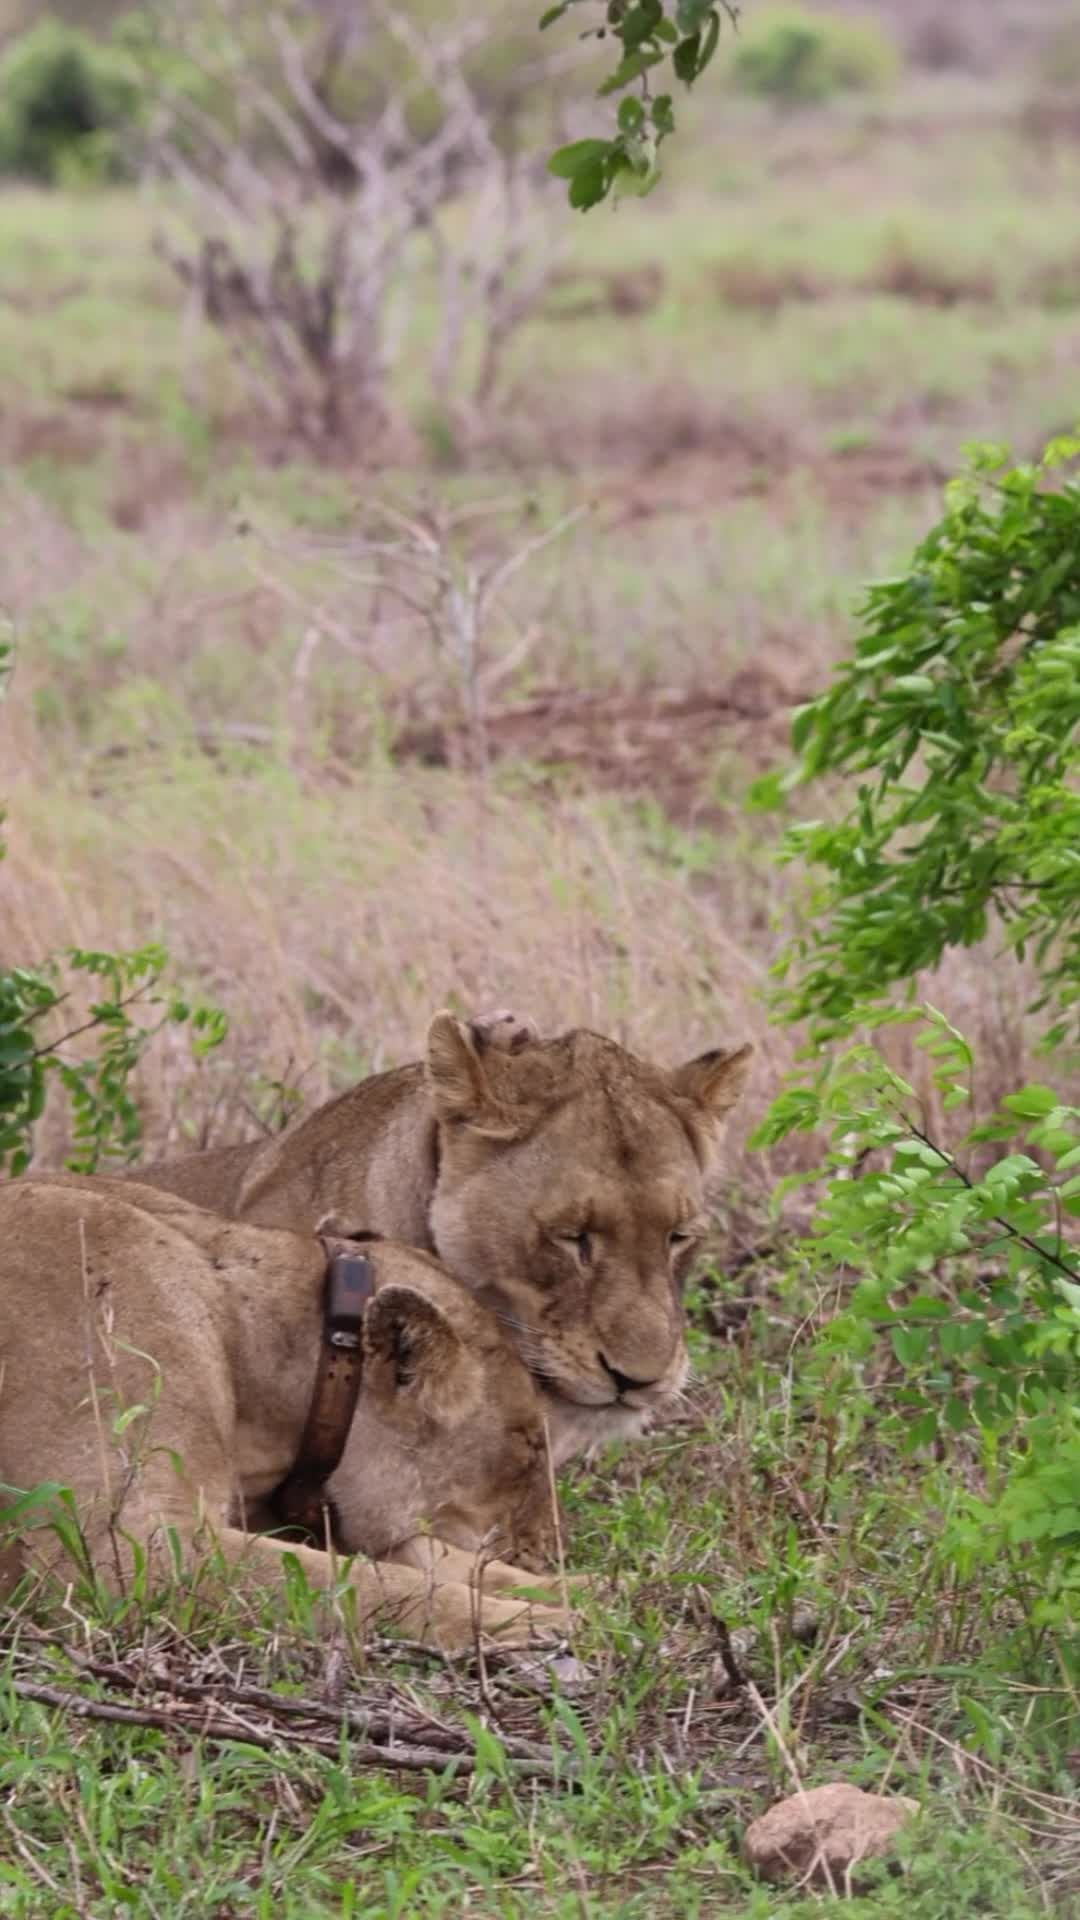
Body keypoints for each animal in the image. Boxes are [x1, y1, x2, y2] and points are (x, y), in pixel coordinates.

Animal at [0, 1175, 573, 1652]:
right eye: (528, 1449)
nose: (550, 1549)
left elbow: (446, 1565)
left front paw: (582, 1591)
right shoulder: (120, 1553)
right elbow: (367, 1585)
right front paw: (540, 1621)